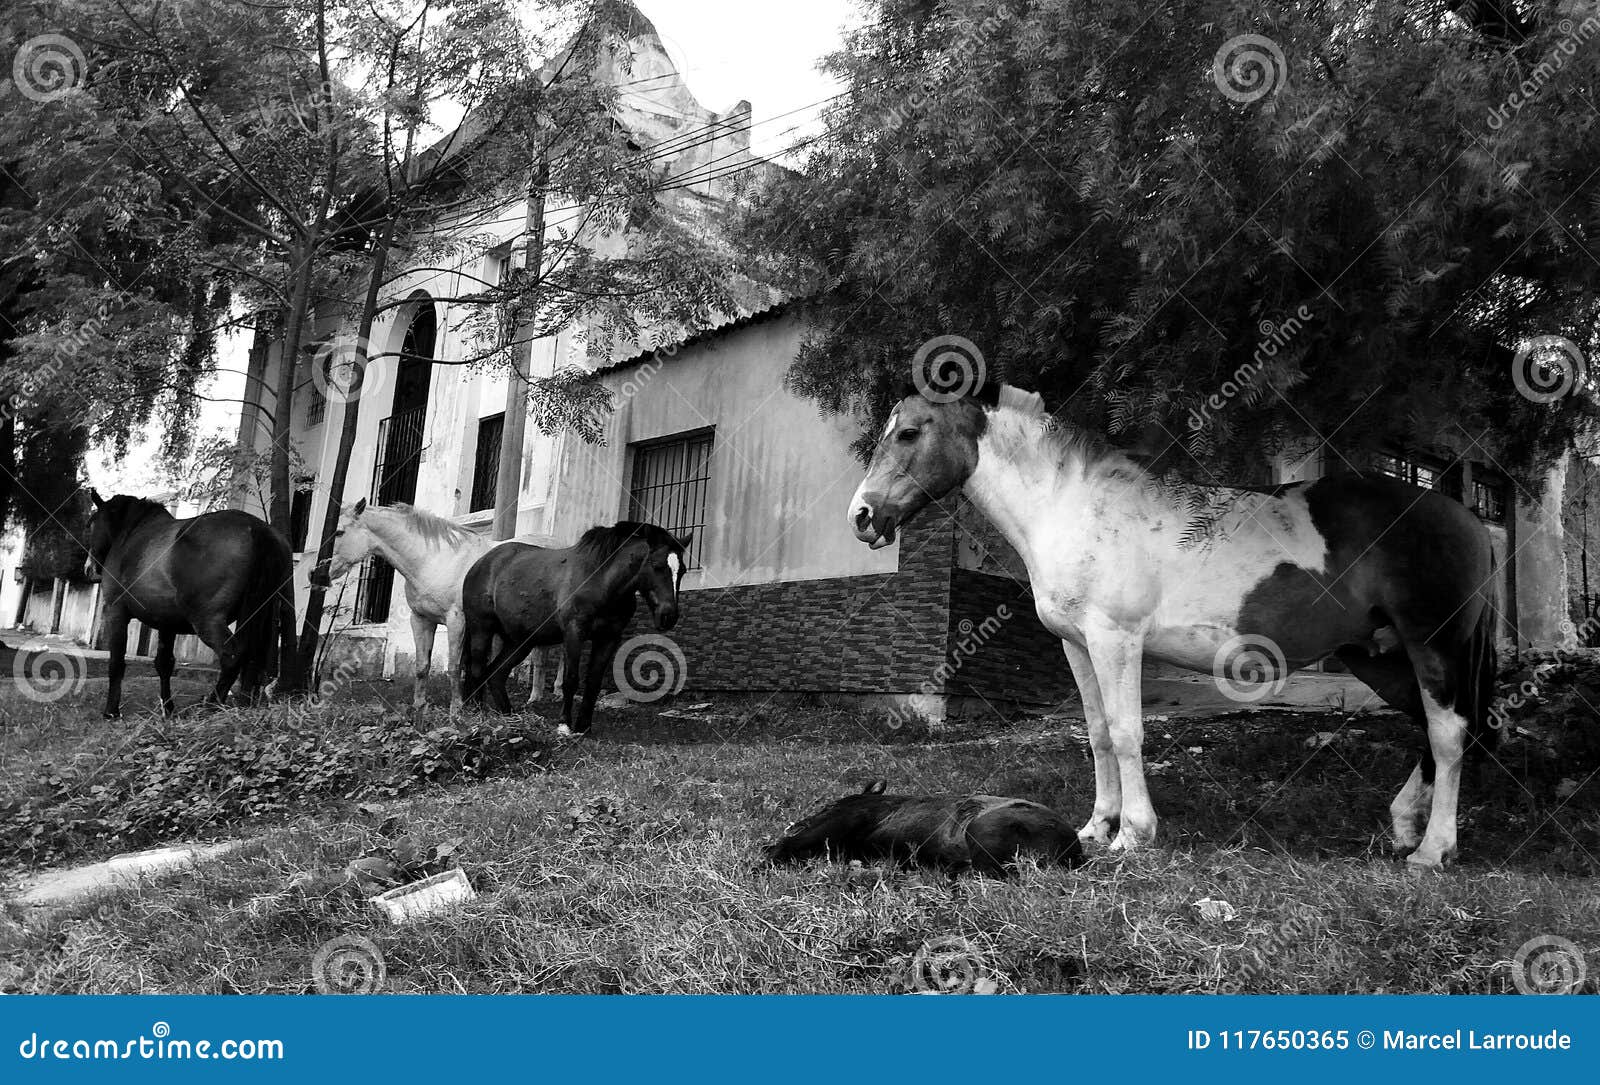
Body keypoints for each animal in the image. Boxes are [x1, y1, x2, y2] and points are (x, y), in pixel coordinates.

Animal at [85, 491, 295, 718]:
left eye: (91, 524)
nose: (88, 569)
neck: (130, 534)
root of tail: (257, 530)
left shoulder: (116, 612)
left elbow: (116, 662)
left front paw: (111, 711)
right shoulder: (166, 623)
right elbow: (164, 663)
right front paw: (168, 709)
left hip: (207, 620)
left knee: (231, 656)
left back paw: (212, 705)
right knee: (256, 660)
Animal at [461, 521, 688, 736]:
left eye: (683, 570)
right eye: (657, 565)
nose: (669, 616)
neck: (600, 579)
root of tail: (480, 563)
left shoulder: (608, 638)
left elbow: (593, 682)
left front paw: (584, 727)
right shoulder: (574, 633)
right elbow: (570, 679)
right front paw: (564, 726)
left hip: (519, 641)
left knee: (496, 674)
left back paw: (508, 718)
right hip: (481, 629)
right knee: (477, 669)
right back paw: (478, 712)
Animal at [847, 384, 1499, 870]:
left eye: (909, 433)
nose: (861, 516)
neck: (1072, 509)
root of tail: (1466, 517)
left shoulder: (1116, 640)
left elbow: (1127, 733)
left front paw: (1134, 834)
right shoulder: (1077, 646)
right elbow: (1098, 734)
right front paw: (1096, 827)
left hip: (1431, 644)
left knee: (1449, 733)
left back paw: (1433, 851)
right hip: (1378, 654)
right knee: (1428, 729)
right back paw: (1404, 827)